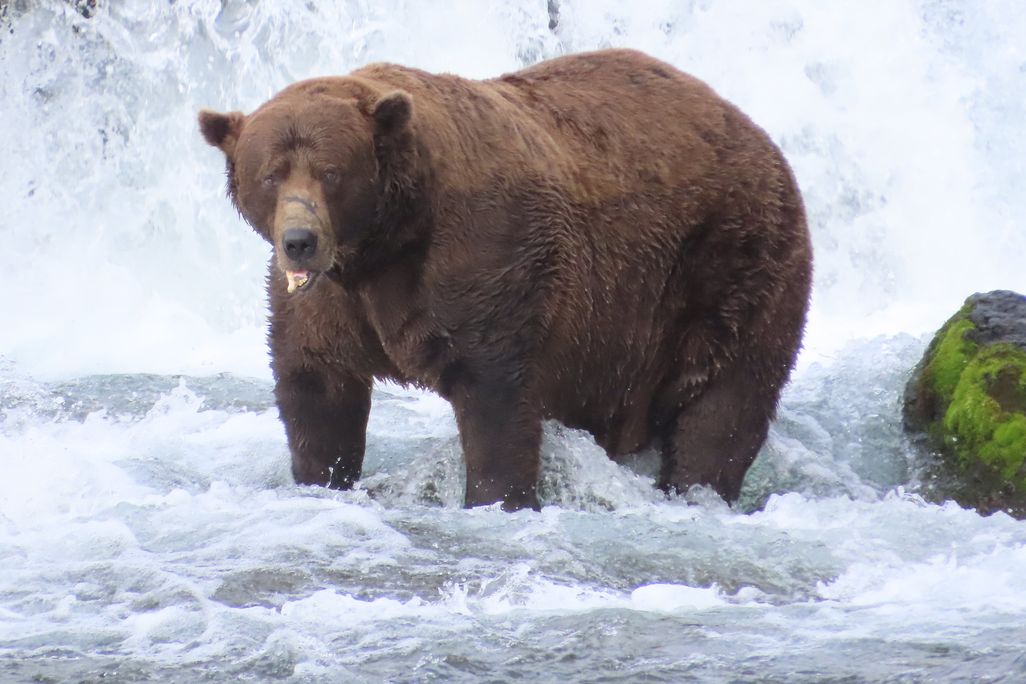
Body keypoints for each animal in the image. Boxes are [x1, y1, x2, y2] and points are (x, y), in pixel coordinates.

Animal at [198, 48, 812, 511]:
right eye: (271, 174)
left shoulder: (487, 259)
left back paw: (697, 488)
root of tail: (755, 131)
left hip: (730, 262)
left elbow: (495, 394)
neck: (385, 245)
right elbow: (316, 386)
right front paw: (322, 477)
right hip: (621, 337)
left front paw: (498, 497)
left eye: (331, 172)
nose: (300, 239)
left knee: (725, 401)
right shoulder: (328, 302)